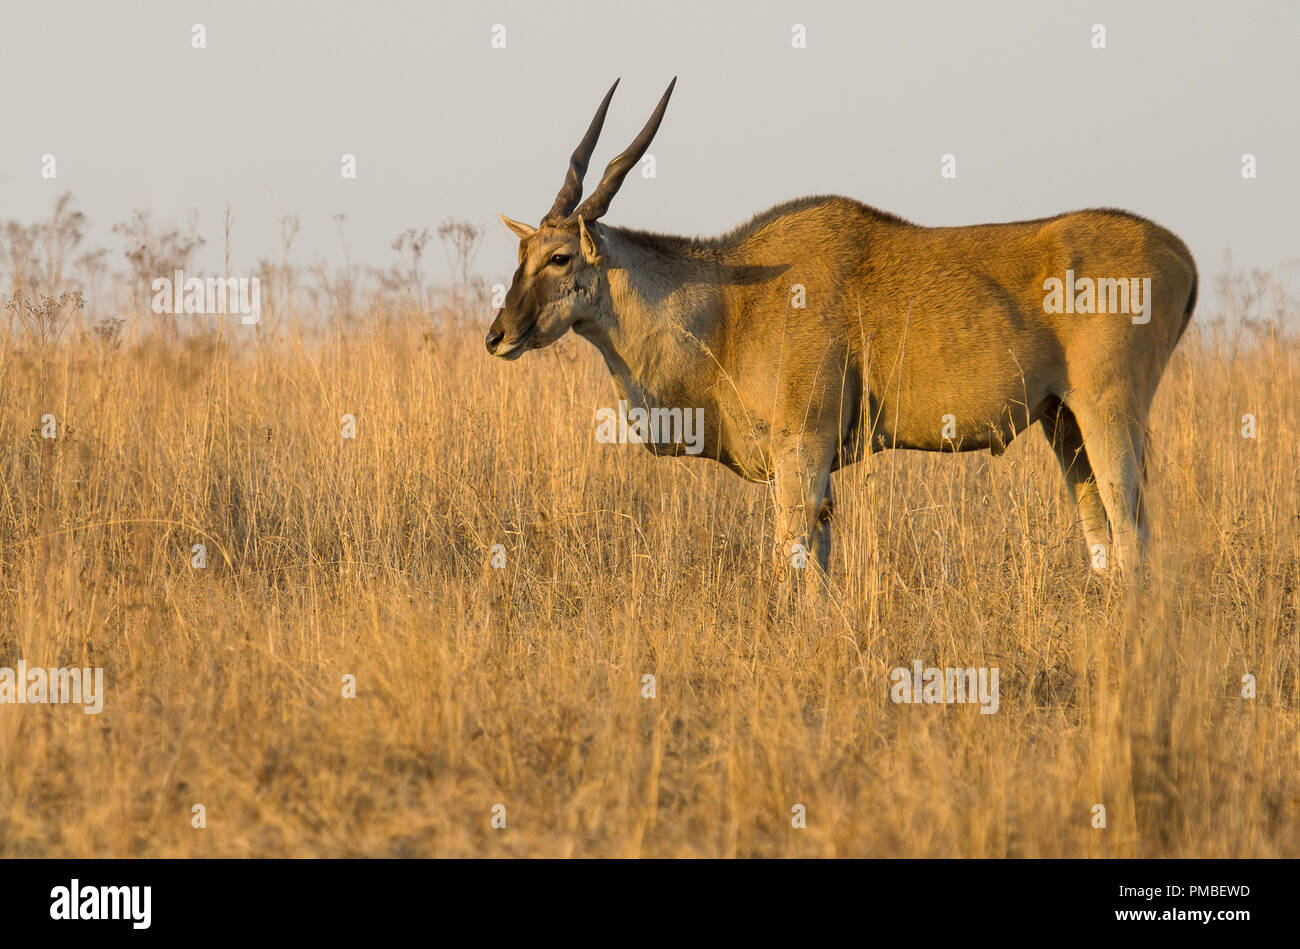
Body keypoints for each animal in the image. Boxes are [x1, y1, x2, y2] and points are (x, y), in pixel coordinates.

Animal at [487, 78, 1198, 578]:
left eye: (560, 257)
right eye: (522, 252)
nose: (498, 335)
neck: (731, 303)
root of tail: (1182, 257)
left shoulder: (800, 449)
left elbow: (794, 560)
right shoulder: (817, 466)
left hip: (1108, 413)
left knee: (1133, 537)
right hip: (1064, 424)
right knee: (1104, 539)